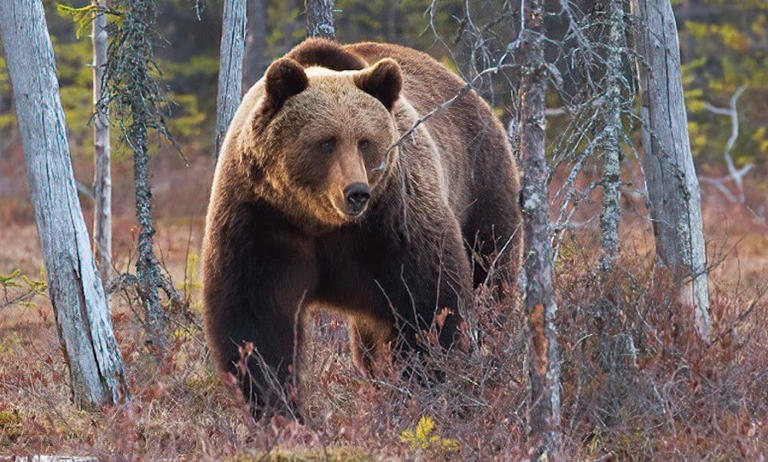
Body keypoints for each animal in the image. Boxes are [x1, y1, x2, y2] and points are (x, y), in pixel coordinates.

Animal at [201, 38, 521, 417]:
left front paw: (424, 388)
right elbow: (256, 319)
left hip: (481, 188)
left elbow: (429, 304)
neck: (321, 221)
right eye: (326, 141)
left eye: (366, 141)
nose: (356, 192)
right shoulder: (261, 219)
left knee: (490, 278)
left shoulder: (393, 220)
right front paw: (278, 408)